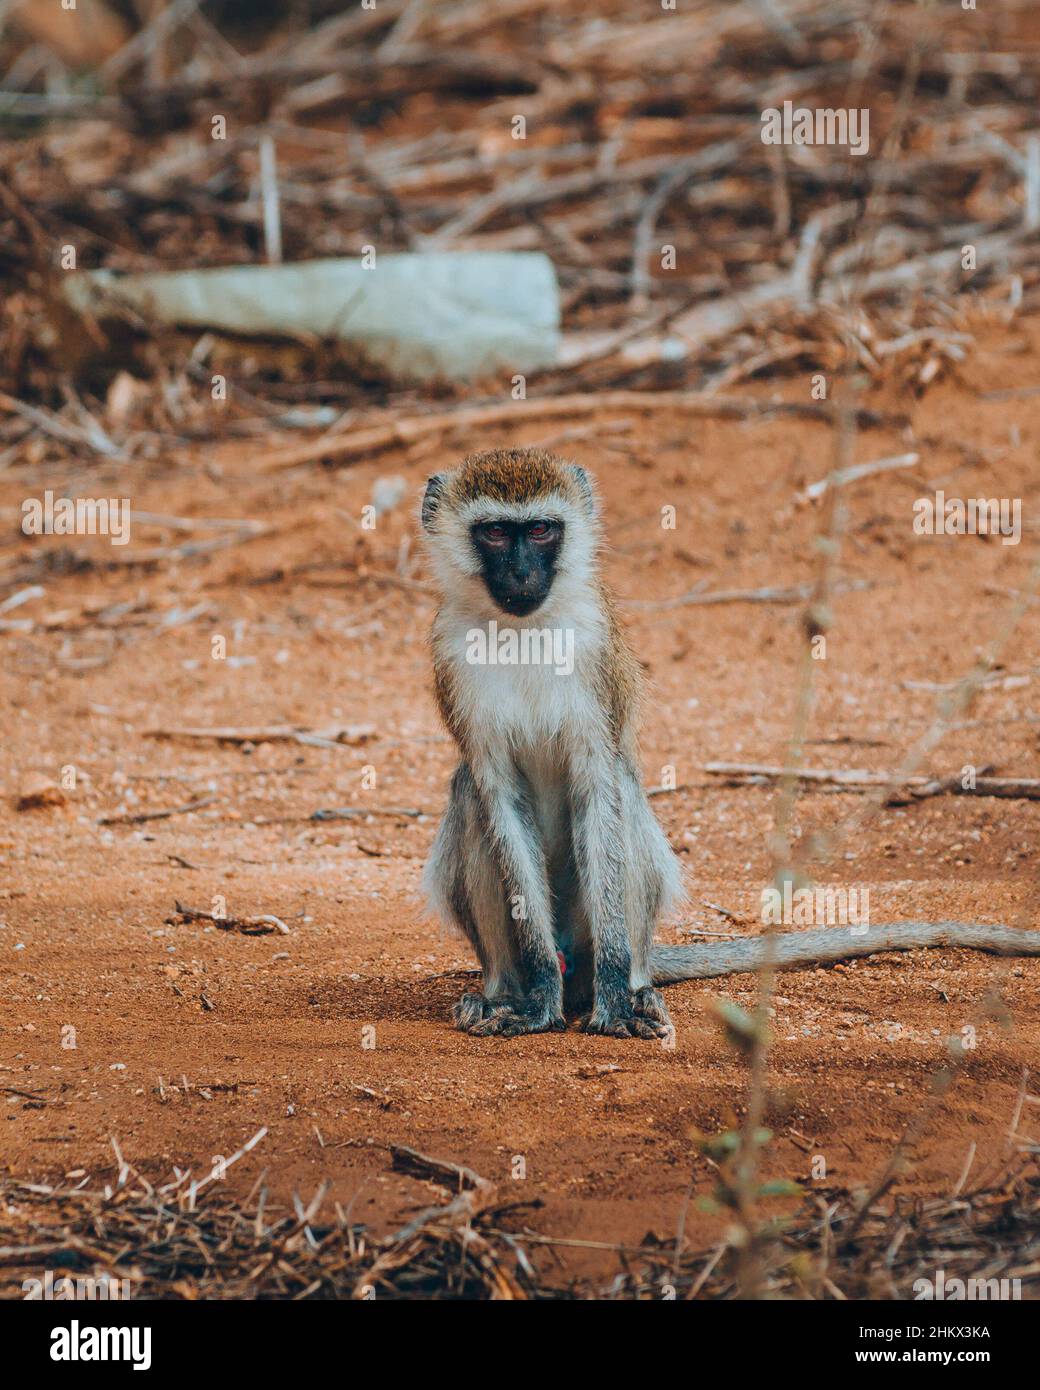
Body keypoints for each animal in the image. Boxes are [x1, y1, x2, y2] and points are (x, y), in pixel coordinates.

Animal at [419, 447, 1040, 1039]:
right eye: (495, 533)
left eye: (541, 530)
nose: (522, 574)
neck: (522, 629)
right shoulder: (450, 649)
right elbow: (497, 790)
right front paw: (539, 997)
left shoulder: (596, 645)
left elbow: (600, 781)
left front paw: (615, 1000)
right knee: (471, 793)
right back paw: (507, 990)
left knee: (619, 790)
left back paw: (627, 982)